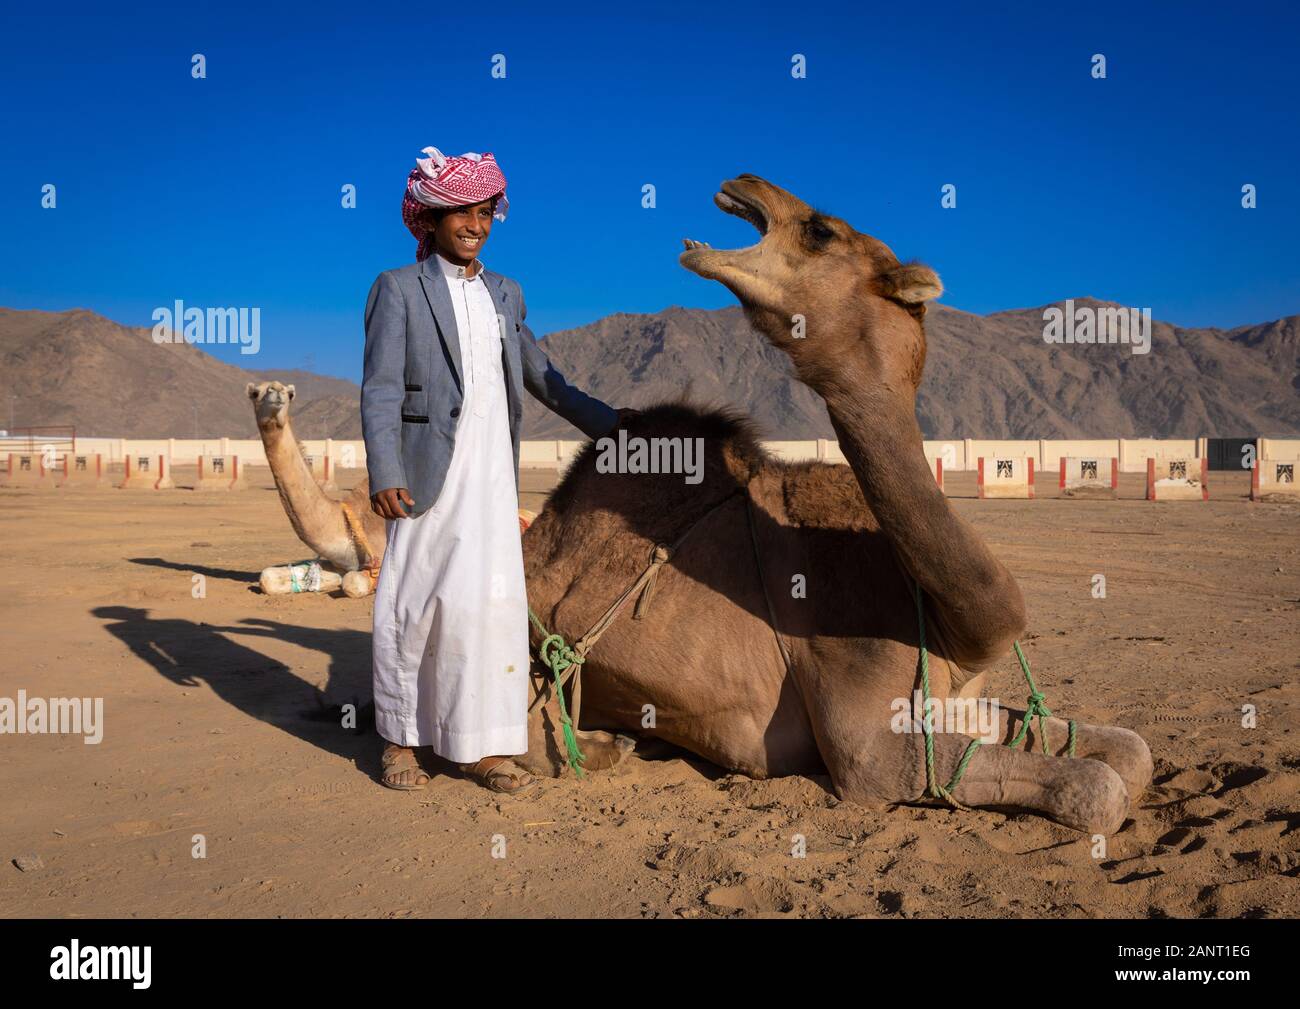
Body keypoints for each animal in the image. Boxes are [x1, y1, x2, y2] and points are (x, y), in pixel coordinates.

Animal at [512, 174, 1153, 834]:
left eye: (821, 230)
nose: (742, 182)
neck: (943, 626)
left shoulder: (958, 706)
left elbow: (1131, 752)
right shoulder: (873, 755)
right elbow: (1099, 787)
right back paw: (582, 753)